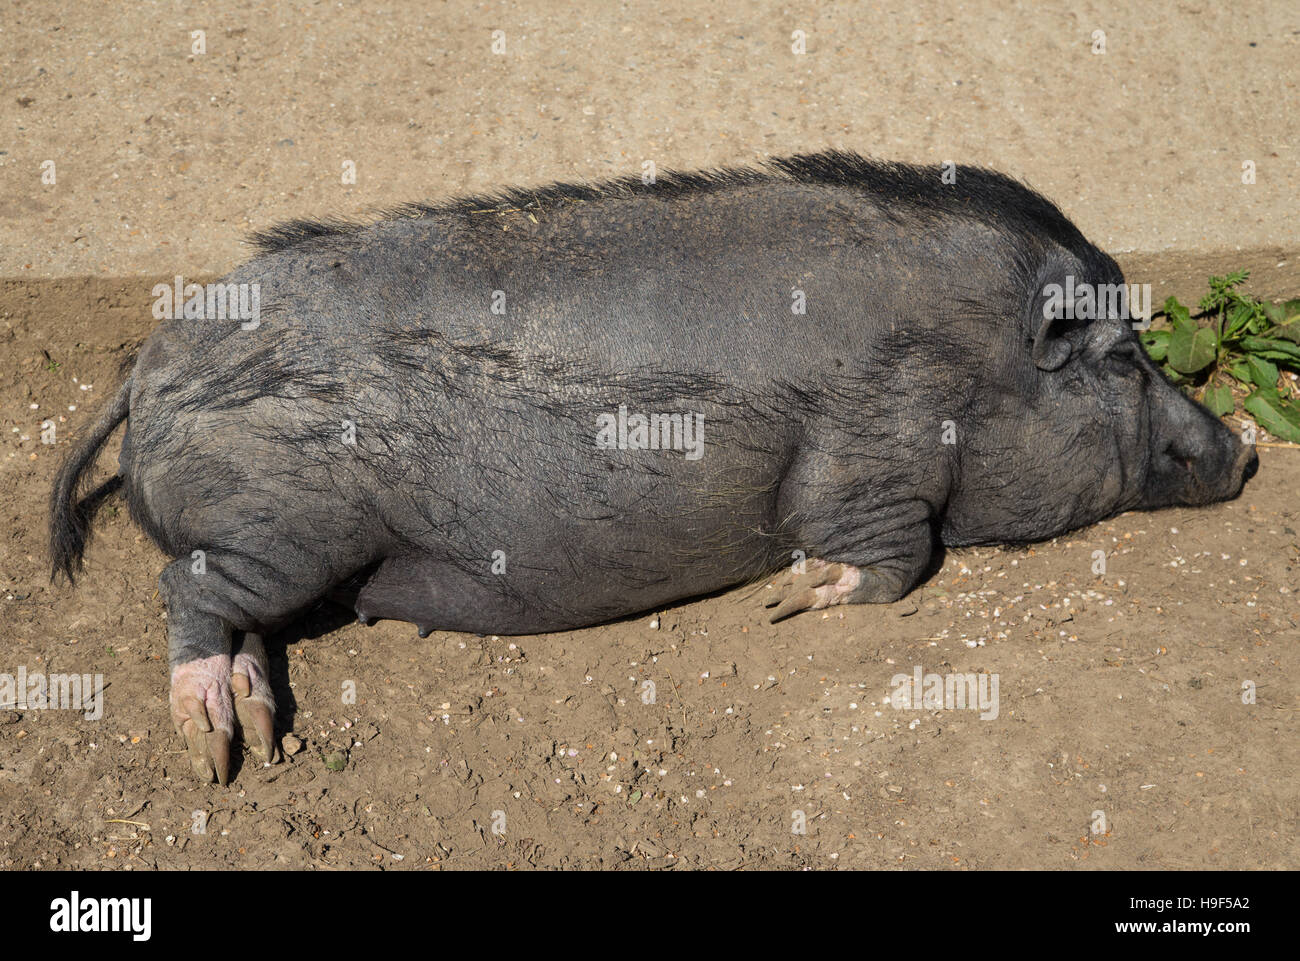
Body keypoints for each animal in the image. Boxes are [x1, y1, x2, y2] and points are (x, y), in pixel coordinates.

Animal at [50, 150, 1258, 783]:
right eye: (1124, 357)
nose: (1243, 452)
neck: (972, 368)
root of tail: (149, 364)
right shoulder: (869, 457)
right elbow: (892, 551)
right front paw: (789, 599)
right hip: (286, 523)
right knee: (183, 592)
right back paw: (218, 755)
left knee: (236, 616)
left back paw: (258, 733)